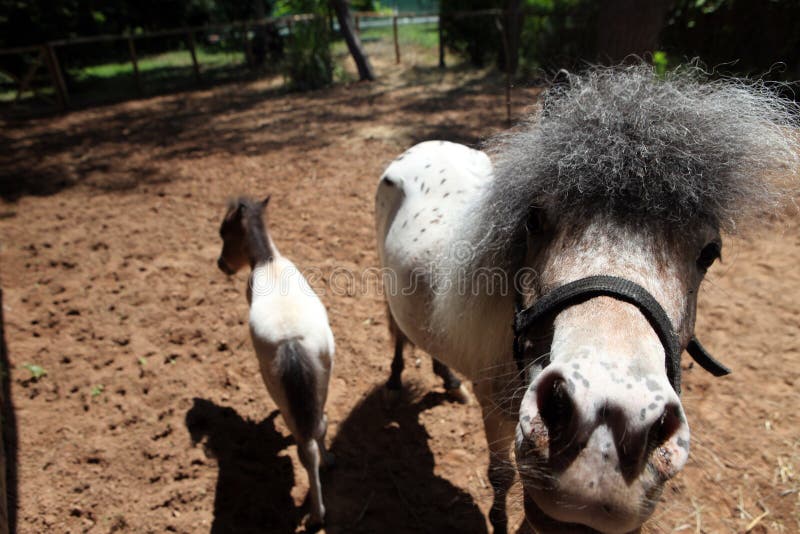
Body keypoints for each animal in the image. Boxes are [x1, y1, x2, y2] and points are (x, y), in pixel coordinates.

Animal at [216, 196, 335, 527]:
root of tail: (290, 340)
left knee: (305, 447)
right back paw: (328, 463)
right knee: (319, 426)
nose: (222, 265)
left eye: (224, 232)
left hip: (280, 392)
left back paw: (316, 515)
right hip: (322, 379)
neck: (268, 261)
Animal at [375, 65, 798, 533]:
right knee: (396, 330)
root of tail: (425, 146)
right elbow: (500, 476)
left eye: (709, 252)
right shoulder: (494, 410)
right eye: (534, 219)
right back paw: (395, 381)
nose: (608, 429)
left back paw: (448, 381)